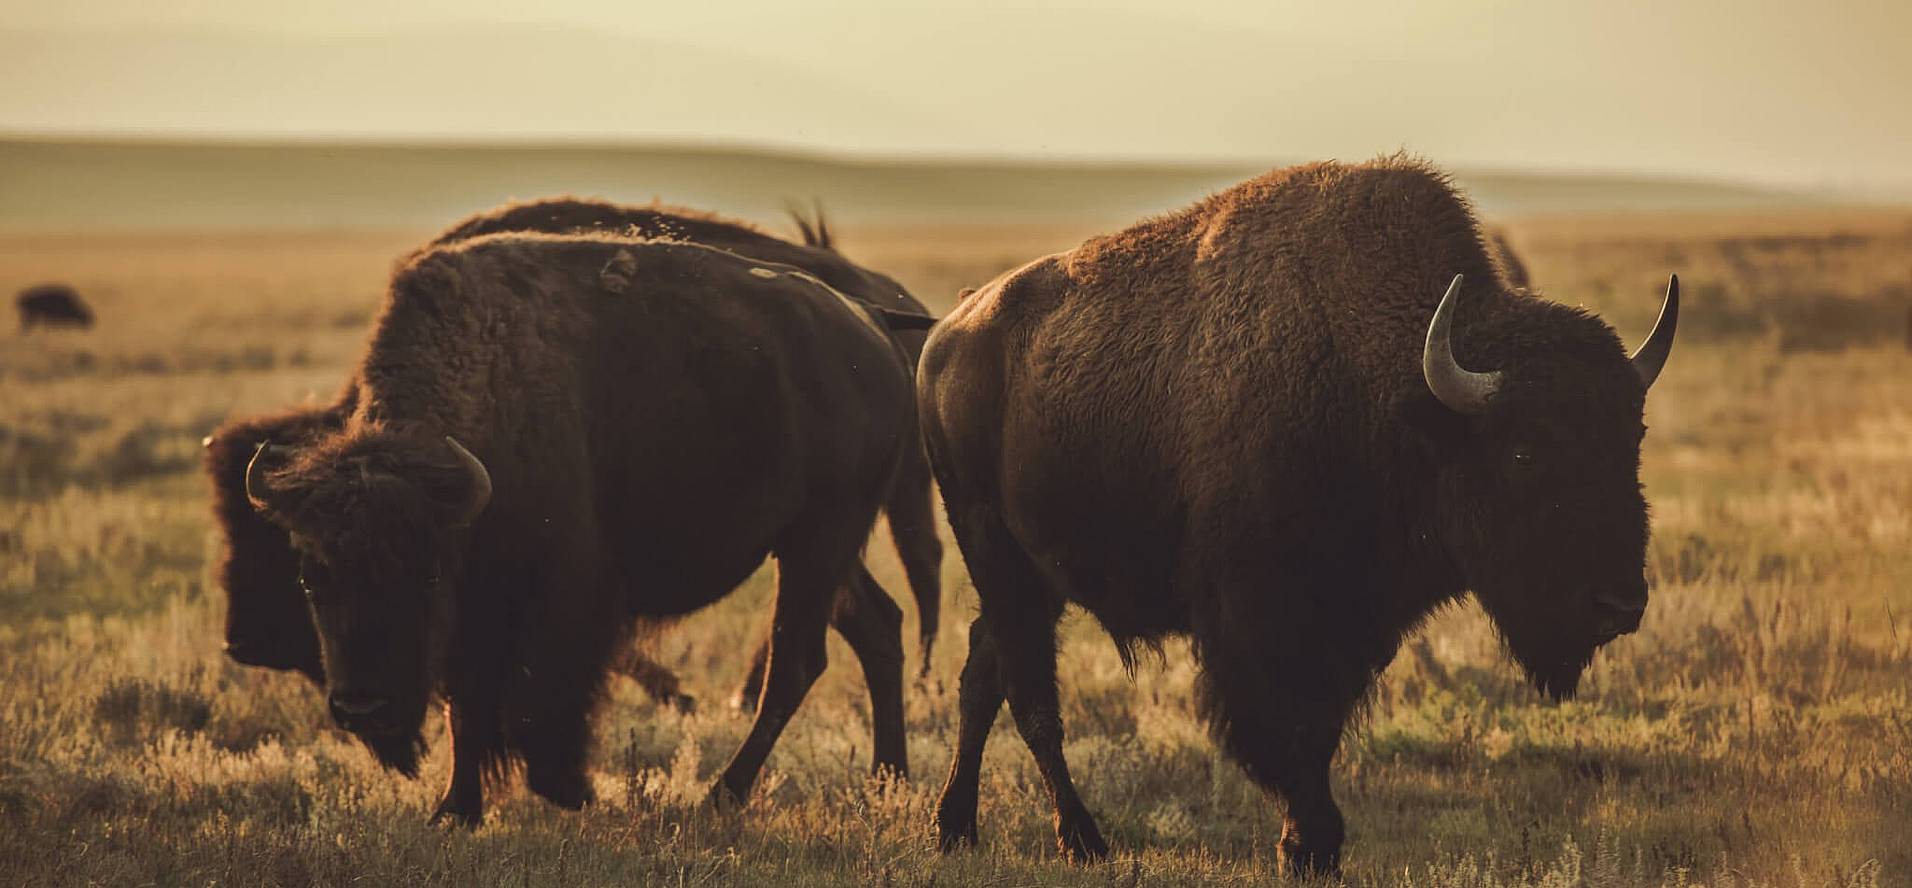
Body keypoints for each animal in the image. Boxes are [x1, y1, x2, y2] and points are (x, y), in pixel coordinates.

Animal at [242, 232, 931, 825]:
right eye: (310, 578)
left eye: (424, 575)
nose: (362, 707)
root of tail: (872, 324)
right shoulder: (477, 615)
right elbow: (465, 706)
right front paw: (455, 811)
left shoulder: (563, 597)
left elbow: (543, 698)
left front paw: (567, 791)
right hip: (817, 548)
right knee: (876, 626)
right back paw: (887, 779)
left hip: (820, 540)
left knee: (795, 662)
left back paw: (722, 796)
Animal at [919, 157, 1676, 876]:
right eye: (1523, 451)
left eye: (1632, 438)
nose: (1620, 604)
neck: (1386, 389)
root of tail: (947, 335)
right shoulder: (1258, 622)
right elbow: (1286, 732)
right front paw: (1312, 842)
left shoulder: (1350, 623)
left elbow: (1319, 728)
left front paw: (1308, 847)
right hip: (996, 556)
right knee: (1030, 696)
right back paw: (1080, 841)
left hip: (1032, 578)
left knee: (985, 675)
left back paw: (955, 829)